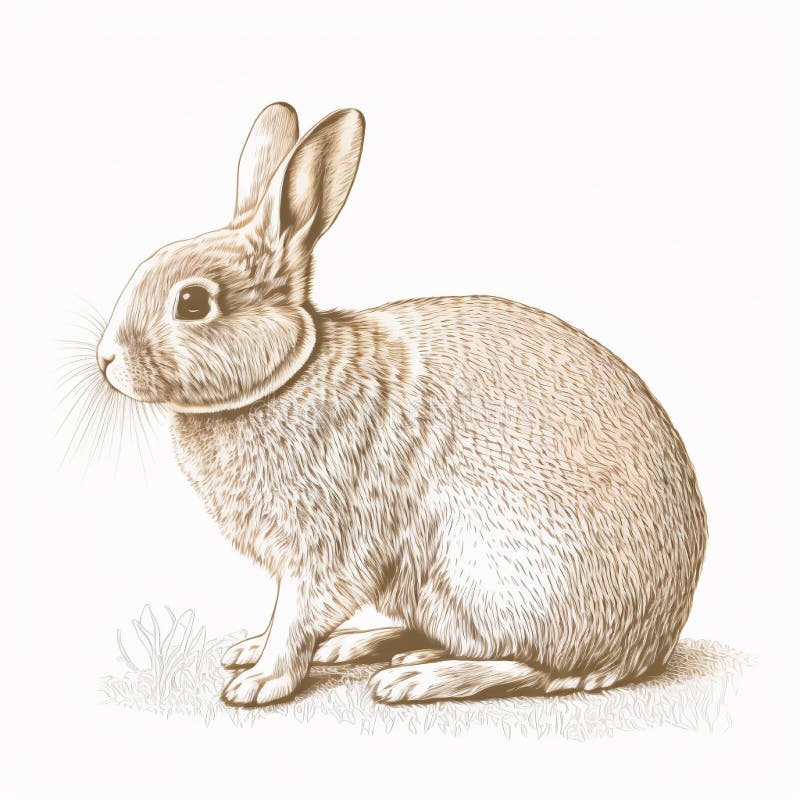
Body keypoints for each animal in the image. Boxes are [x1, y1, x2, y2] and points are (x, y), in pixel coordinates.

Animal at [96, 102, 707, 706]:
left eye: (192, 303)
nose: (105, 359)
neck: (289, 373)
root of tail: (651, 640)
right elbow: (285, 616)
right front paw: (251, 651)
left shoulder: (331, 540)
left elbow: (297, 616)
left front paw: (259, 681)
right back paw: (364, 646)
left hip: (494, 574)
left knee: (536, 669)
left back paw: (417, 677)